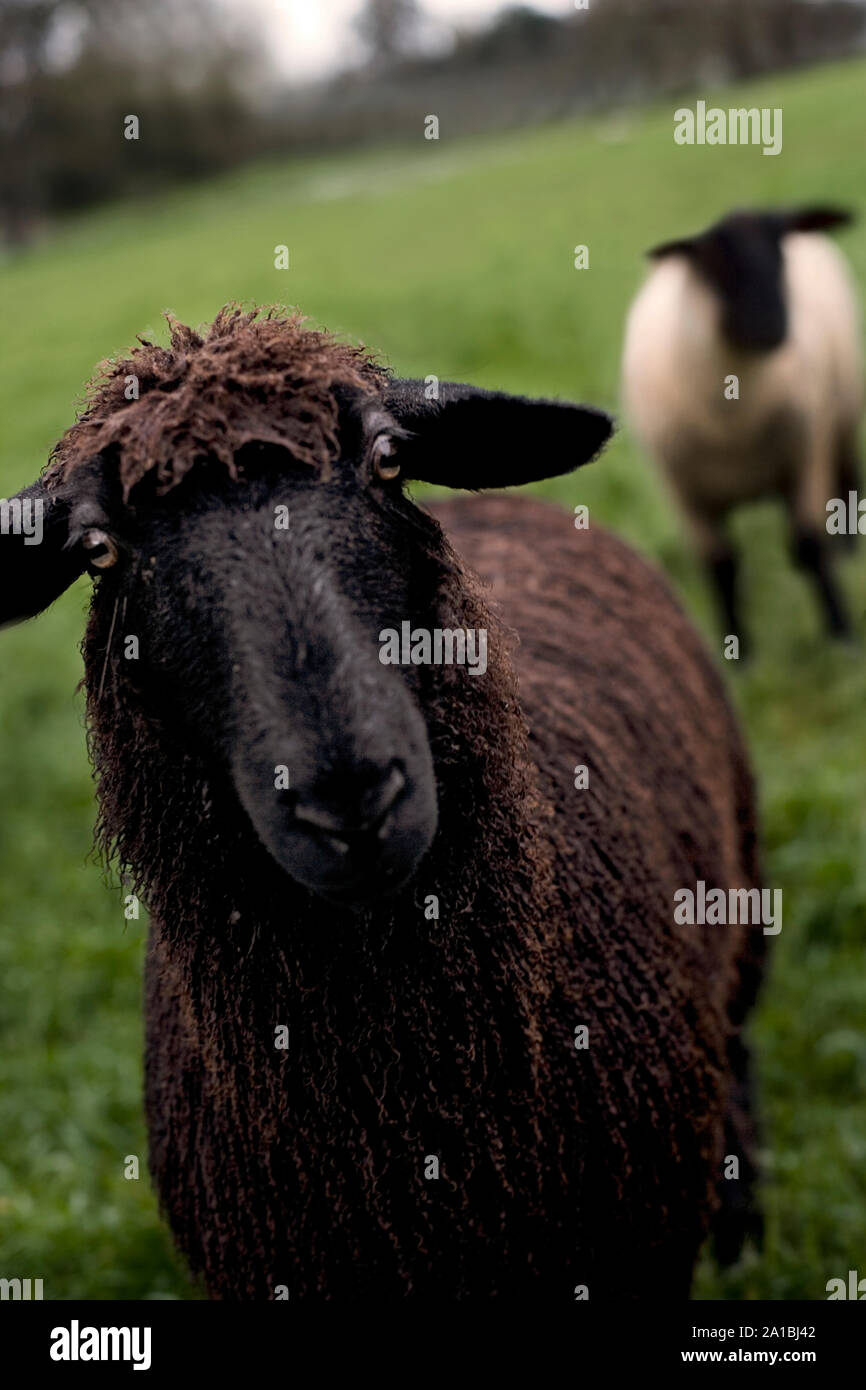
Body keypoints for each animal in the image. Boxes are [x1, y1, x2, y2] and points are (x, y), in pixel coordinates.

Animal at [621, 206, 863, 653]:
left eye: (781, 258)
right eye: (715, 267)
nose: (773, 327)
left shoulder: (804, 459)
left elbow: (811, 547)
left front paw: (841, 636)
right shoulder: (687, 494)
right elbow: (722, 567)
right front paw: (738, 653)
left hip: (842, 414)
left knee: (846, 480)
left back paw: (849, 549)